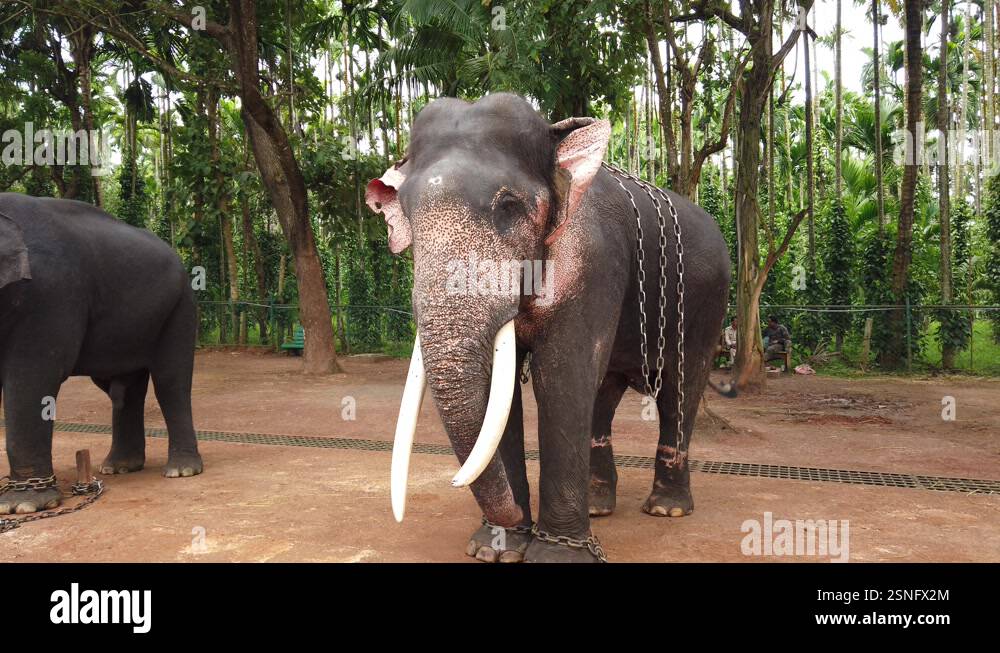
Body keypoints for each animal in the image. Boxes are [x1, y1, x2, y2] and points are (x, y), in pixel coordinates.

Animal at [0, 193, 202, 515]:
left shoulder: (48, 295)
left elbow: (32, 378)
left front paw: (21, 506)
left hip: (181, 305)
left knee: (171, 382)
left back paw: (181, 471)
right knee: (125, 390)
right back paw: (119, 468)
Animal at [367, 93, 732, 563]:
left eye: (509, 207)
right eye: (408, 216)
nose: (508, 516)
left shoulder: (592, 261)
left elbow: (560, 378)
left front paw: (555, 555)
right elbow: (504, 394)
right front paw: (496, 548)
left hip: (706, 303)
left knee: (679, 390)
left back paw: (667, 509)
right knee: (604, 392)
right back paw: (597, 508)